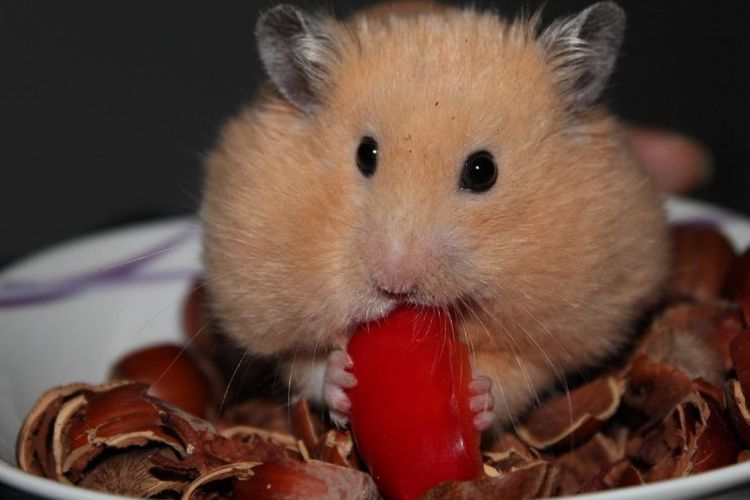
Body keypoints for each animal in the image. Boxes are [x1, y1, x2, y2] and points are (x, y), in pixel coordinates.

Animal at [200, 1, 670, 430]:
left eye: (482, 171)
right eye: (365, 154)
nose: (395, 284)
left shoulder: (559, 329)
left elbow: (517, 374)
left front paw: (478, 398)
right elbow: (304, 363)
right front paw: (341, 378)